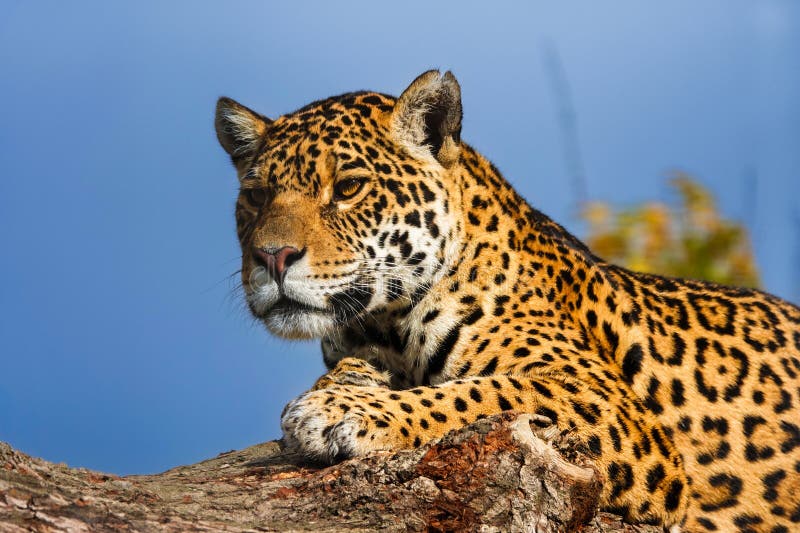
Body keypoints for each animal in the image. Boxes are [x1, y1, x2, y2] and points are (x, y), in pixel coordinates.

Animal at [214, 70, 800, 532]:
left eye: (349, 187)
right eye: (256, 196)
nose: (273, 257)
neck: (383, 322)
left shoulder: (608, 404)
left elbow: (484, 394)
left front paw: (341, 410)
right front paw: (344, 387)